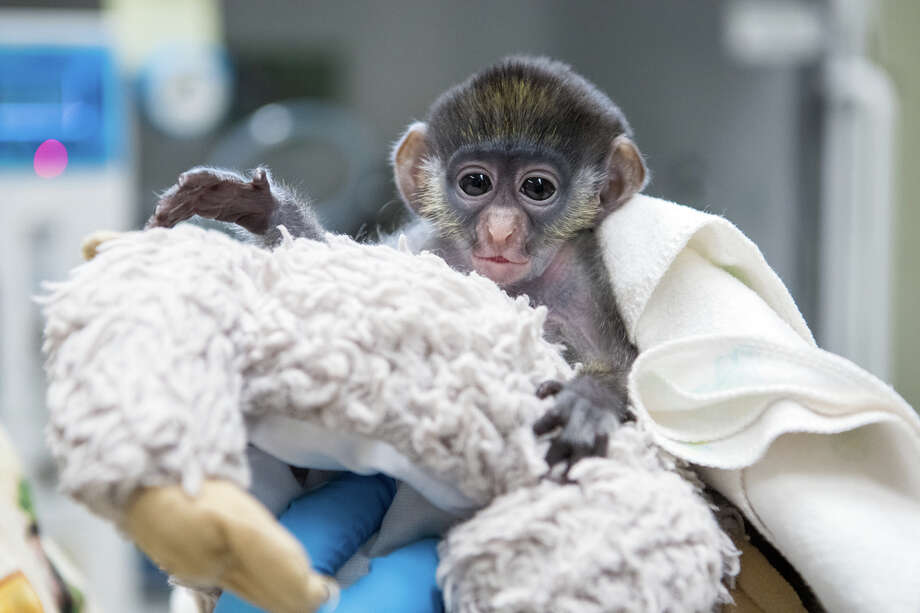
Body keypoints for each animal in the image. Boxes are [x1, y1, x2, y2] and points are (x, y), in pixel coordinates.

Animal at [146, 56, 648, 473]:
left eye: (538, 188)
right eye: (476, 182)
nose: (501, 229)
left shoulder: (584, 278)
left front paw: (589, 399)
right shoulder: (427, 246)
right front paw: (259, 207)